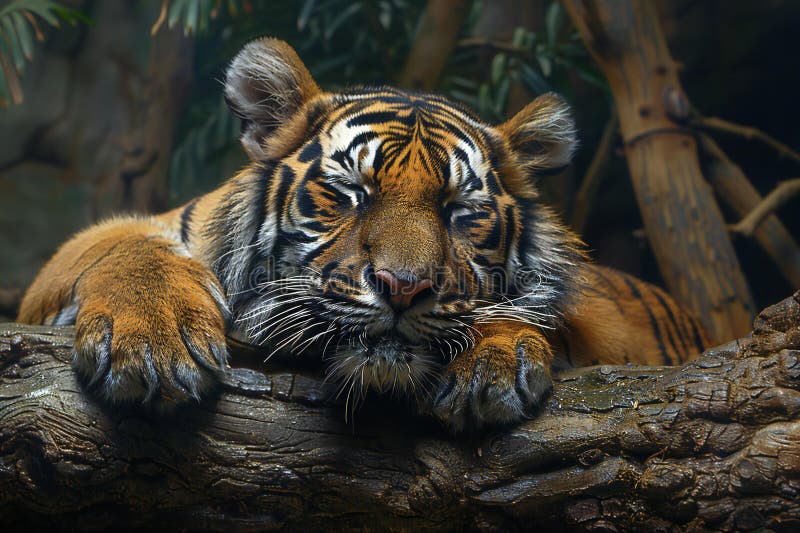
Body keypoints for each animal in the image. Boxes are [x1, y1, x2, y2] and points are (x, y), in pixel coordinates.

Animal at [17, 38, 710, 432]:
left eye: (459, 211)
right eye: (352, 193)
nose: (402, 288)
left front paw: (494, 356)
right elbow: (126, 246)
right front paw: (153, 341)